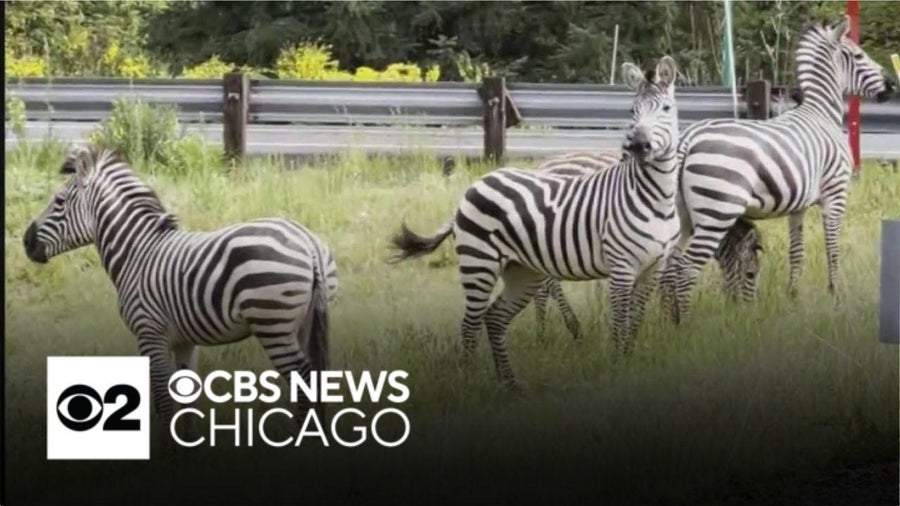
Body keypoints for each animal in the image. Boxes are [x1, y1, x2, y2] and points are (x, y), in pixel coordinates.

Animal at [23, 145, 338, 442]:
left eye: (59, 202)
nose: (26, 242)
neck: (137, 253)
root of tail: (308, 243)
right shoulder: (184, 341)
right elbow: (186, 398)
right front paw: (187, 447)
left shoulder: (149, 334)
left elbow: (163, 402)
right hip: (303, 323)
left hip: (273, 322)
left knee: (305, 380)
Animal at [389, 56, 682, 387]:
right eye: (633, 110)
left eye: (666, 109)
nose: (639, 146)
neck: (657, 199)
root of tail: (477, 183)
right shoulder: (621, 268)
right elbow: (620, 326)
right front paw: (619, 371)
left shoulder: (653, 268)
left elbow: (634, 324)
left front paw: (629, 367)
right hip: (479, 263)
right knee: (469, 324)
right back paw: (466, 381)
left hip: (522, 271)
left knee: (494, 318)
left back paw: (510, 384)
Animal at [531, 151, 765, 342]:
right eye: (751, 274)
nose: (748, 317)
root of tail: (545, 166)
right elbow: (666, 279)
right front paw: (667, 322)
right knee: (548, 284)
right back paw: (566, 328)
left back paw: (544, 331)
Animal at [662, 16, 894, 324]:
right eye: (858, 56)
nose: (892, 85)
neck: (821, 114)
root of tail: (688, 139)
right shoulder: (836, 194)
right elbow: (832, 247)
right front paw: (836, 296)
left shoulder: (799, 206)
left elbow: (796, 251)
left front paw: (793, 295)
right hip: (717, 211)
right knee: (686, 268)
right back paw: (686, 326)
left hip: (682, 214)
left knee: (669, 266)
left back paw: (668, 322)